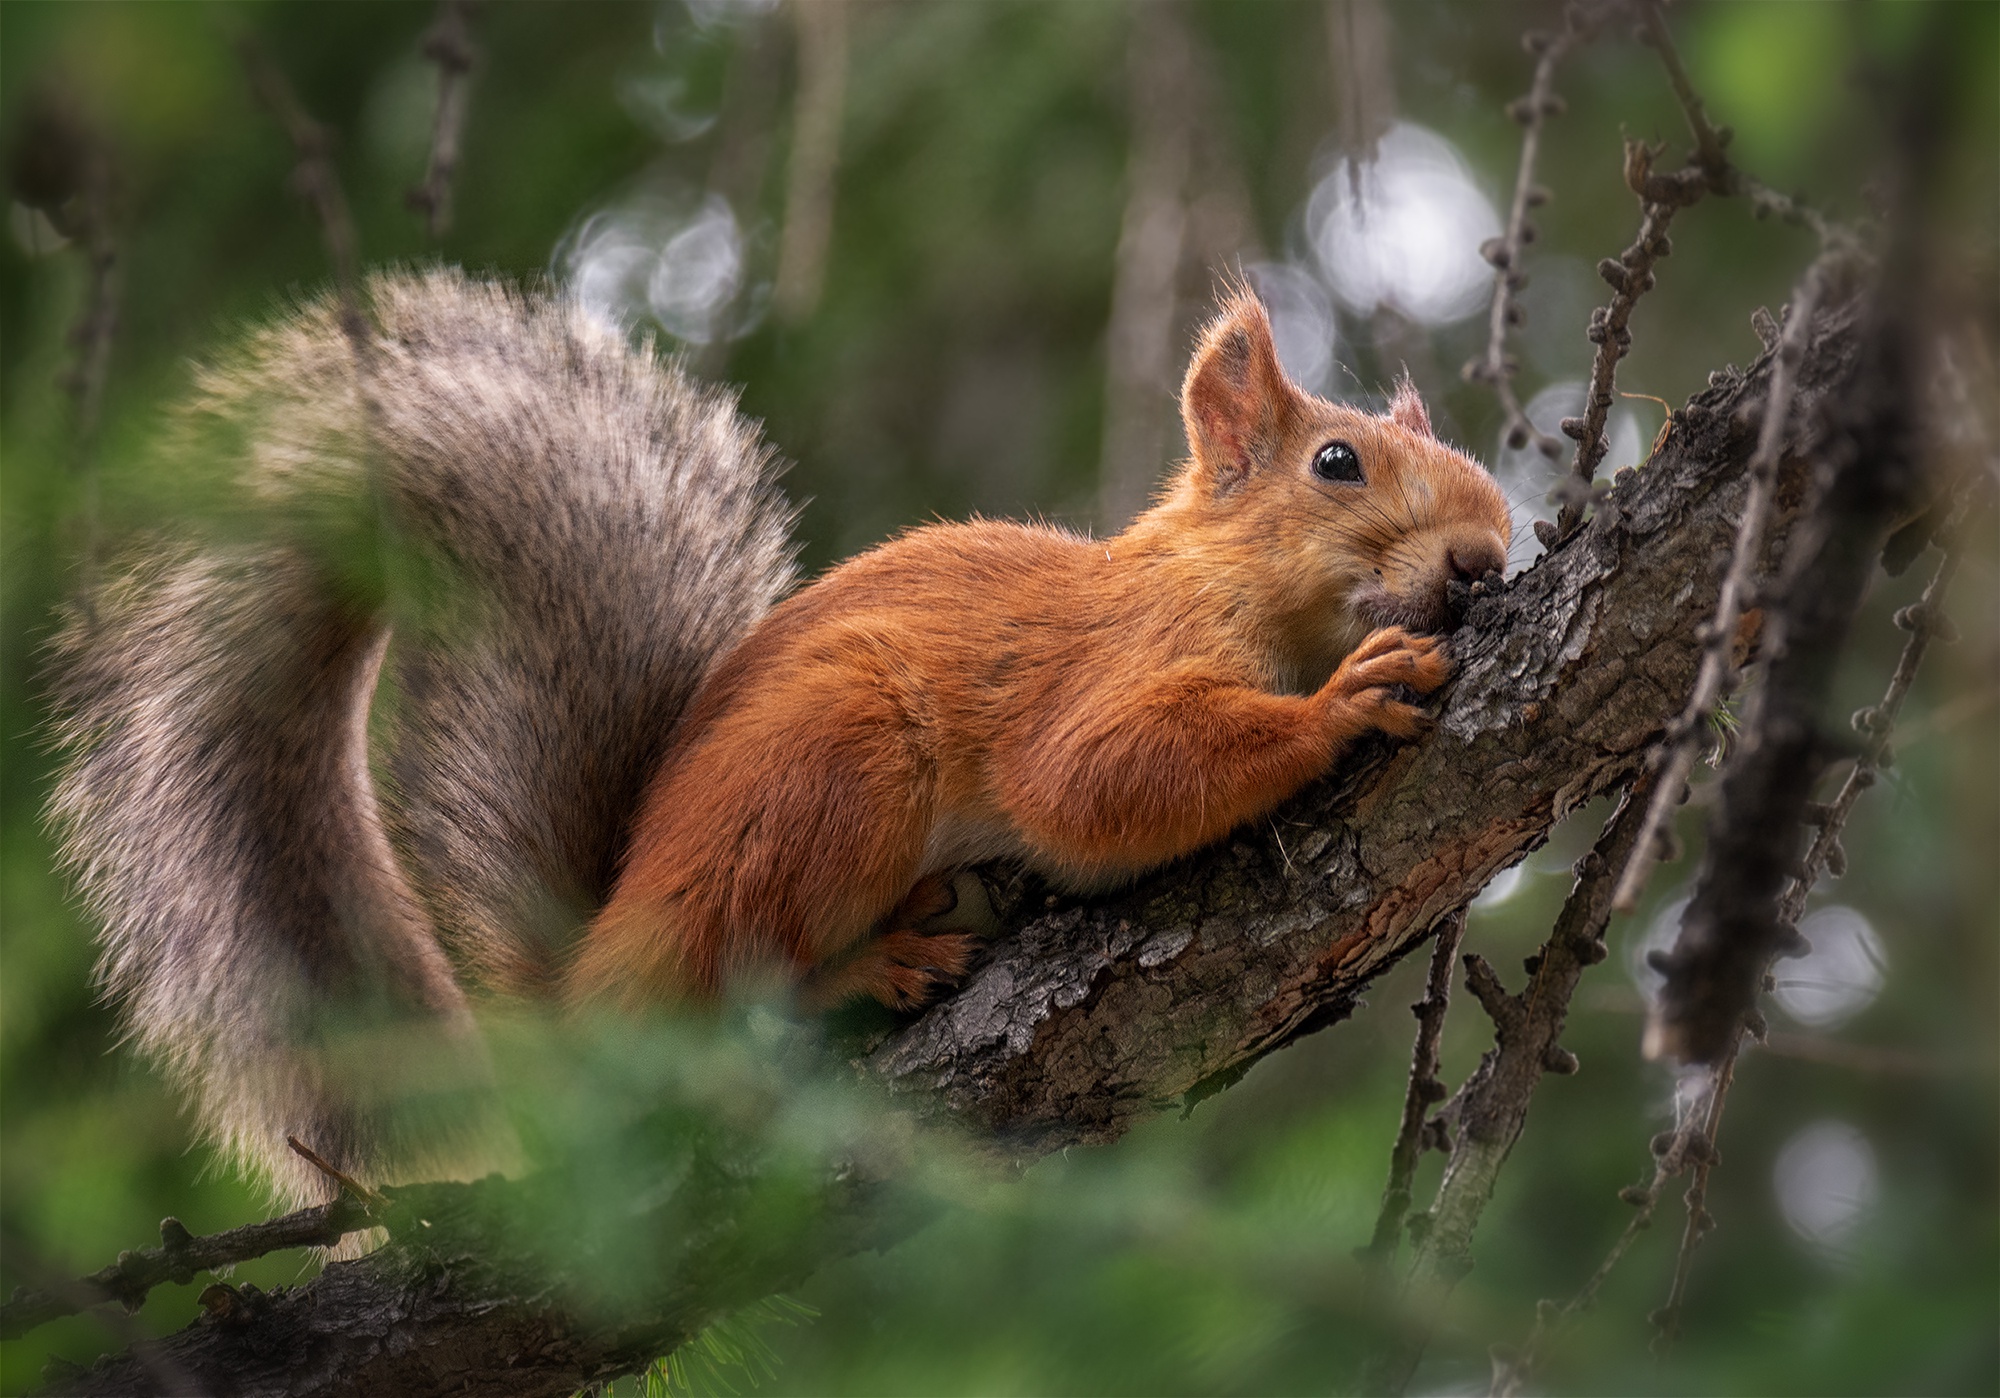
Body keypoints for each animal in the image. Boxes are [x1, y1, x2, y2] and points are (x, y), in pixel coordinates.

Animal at [48, 269, 1509, 1212]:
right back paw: (870, 964)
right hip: (837, 763)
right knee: (720, 999)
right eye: (1336, 463)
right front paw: (1340, 703)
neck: (1224, 583)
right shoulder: (1103, 668)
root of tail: (592, 973)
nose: (1486, 560)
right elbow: (1089, 780)